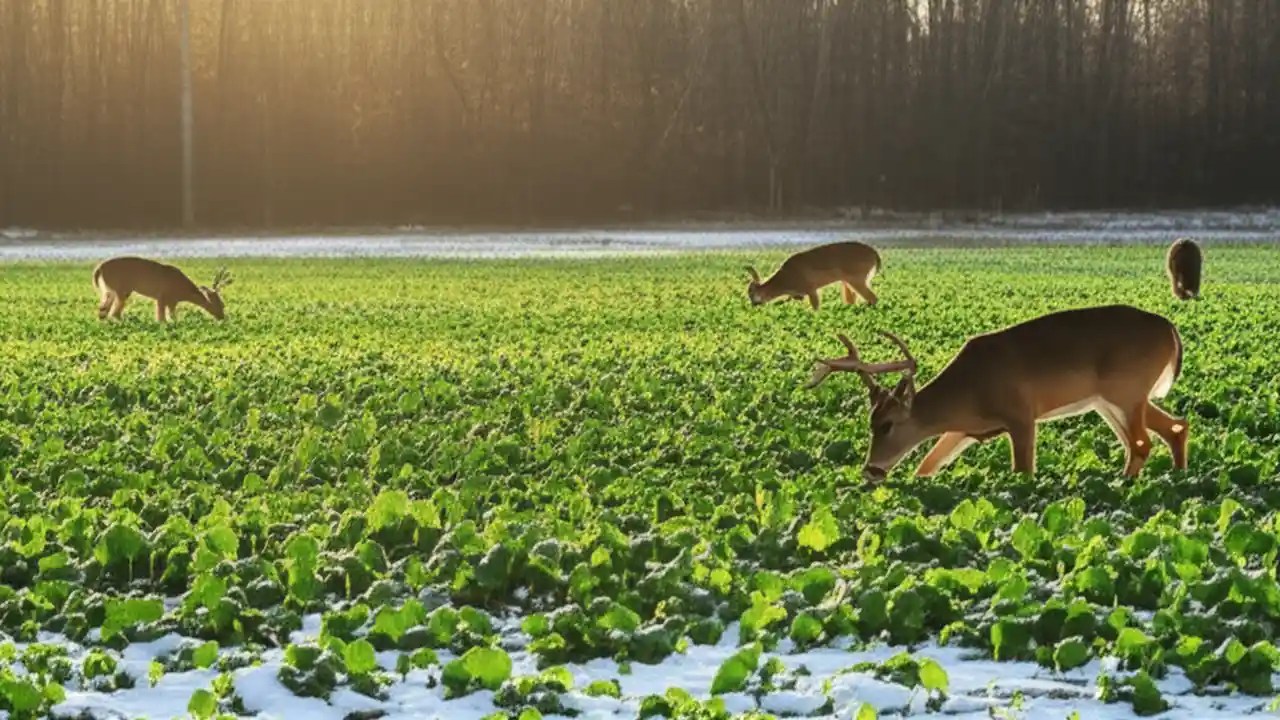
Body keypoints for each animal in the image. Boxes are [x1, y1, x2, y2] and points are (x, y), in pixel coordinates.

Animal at [93, 257, 232, 323]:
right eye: (221, 304)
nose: (222, 317)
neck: (183, 290)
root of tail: (99, 268)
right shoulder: (162, 296)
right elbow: (162, 319)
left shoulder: (172, 301)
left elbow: (171, 317)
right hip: (121, 288)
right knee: (113, 313)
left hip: (111, 290)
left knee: (103, 310)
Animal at [746, 241, 882, 311]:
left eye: (751, 293)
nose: (753, 305)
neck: (785, 280)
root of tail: (874, 254)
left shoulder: (810, 288)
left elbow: (815, 308)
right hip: (848, 280)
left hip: (856, 278)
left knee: (873, 298)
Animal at [806, 305, 1188, 482]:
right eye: (869, 423)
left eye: (886, 425)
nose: (871, 470)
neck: (970, 391)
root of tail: (1170, 329)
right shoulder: (966, 429)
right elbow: (927, 466)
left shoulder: (1021, 415)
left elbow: (1023, 471)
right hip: (1113, 400)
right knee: (1174, 428)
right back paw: (1177, 477)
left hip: (1126, 392)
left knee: (1142, 442)